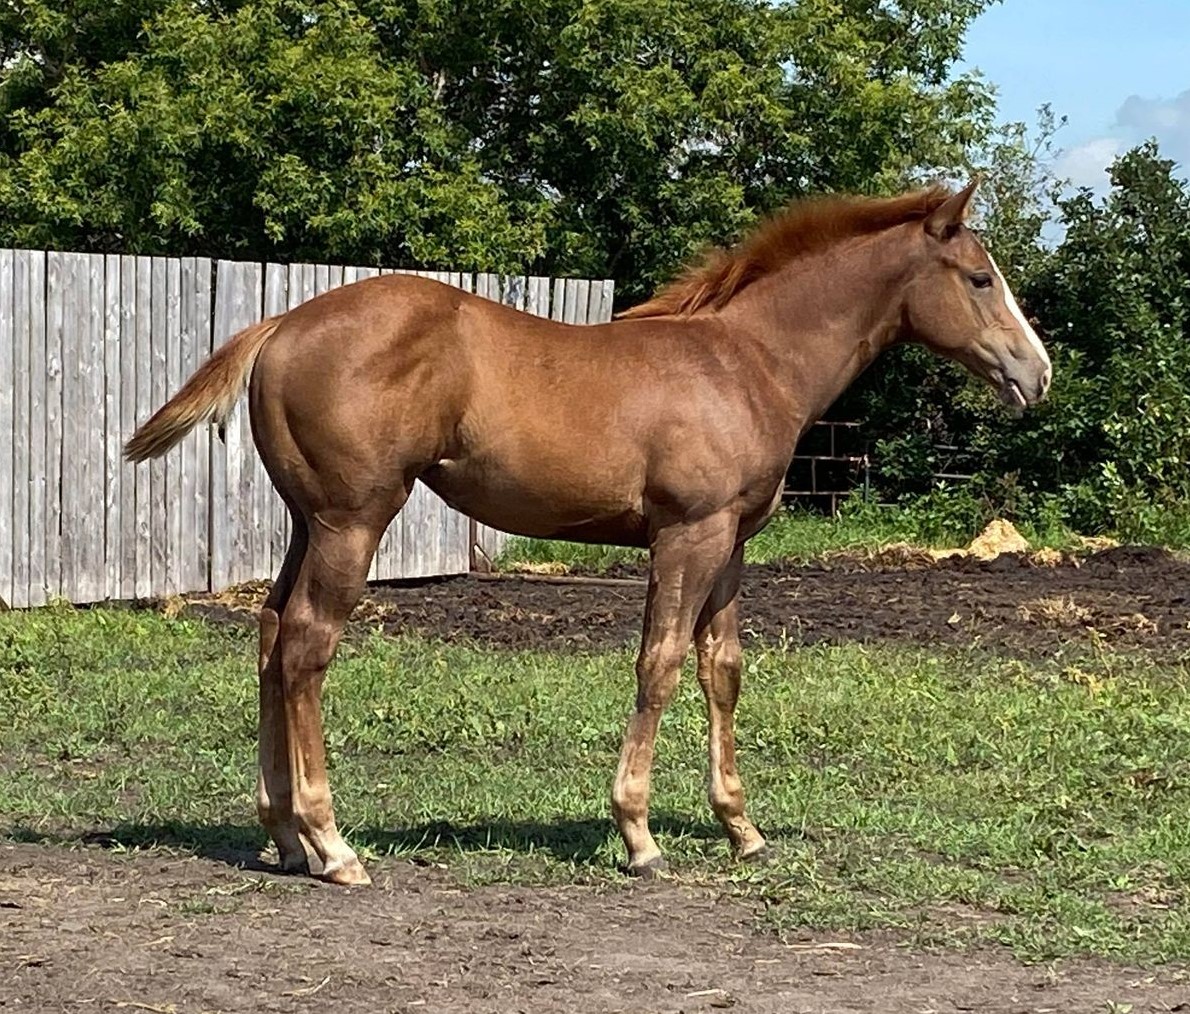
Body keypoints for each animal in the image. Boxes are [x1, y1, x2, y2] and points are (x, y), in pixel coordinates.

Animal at [126, 178, 1051, 885]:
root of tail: (279, 326)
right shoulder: (688, 535)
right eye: (979, 278)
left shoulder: (732, 542)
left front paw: (742, 829)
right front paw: (638, 835)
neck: (746, 361)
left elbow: (723, 671)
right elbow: (660, 666)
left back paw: (283, 835)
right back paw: (332, 844)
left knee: (270, 633)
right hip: (353, 520)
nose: (1037, 373)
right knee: (308, 646)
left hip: (306, 521)